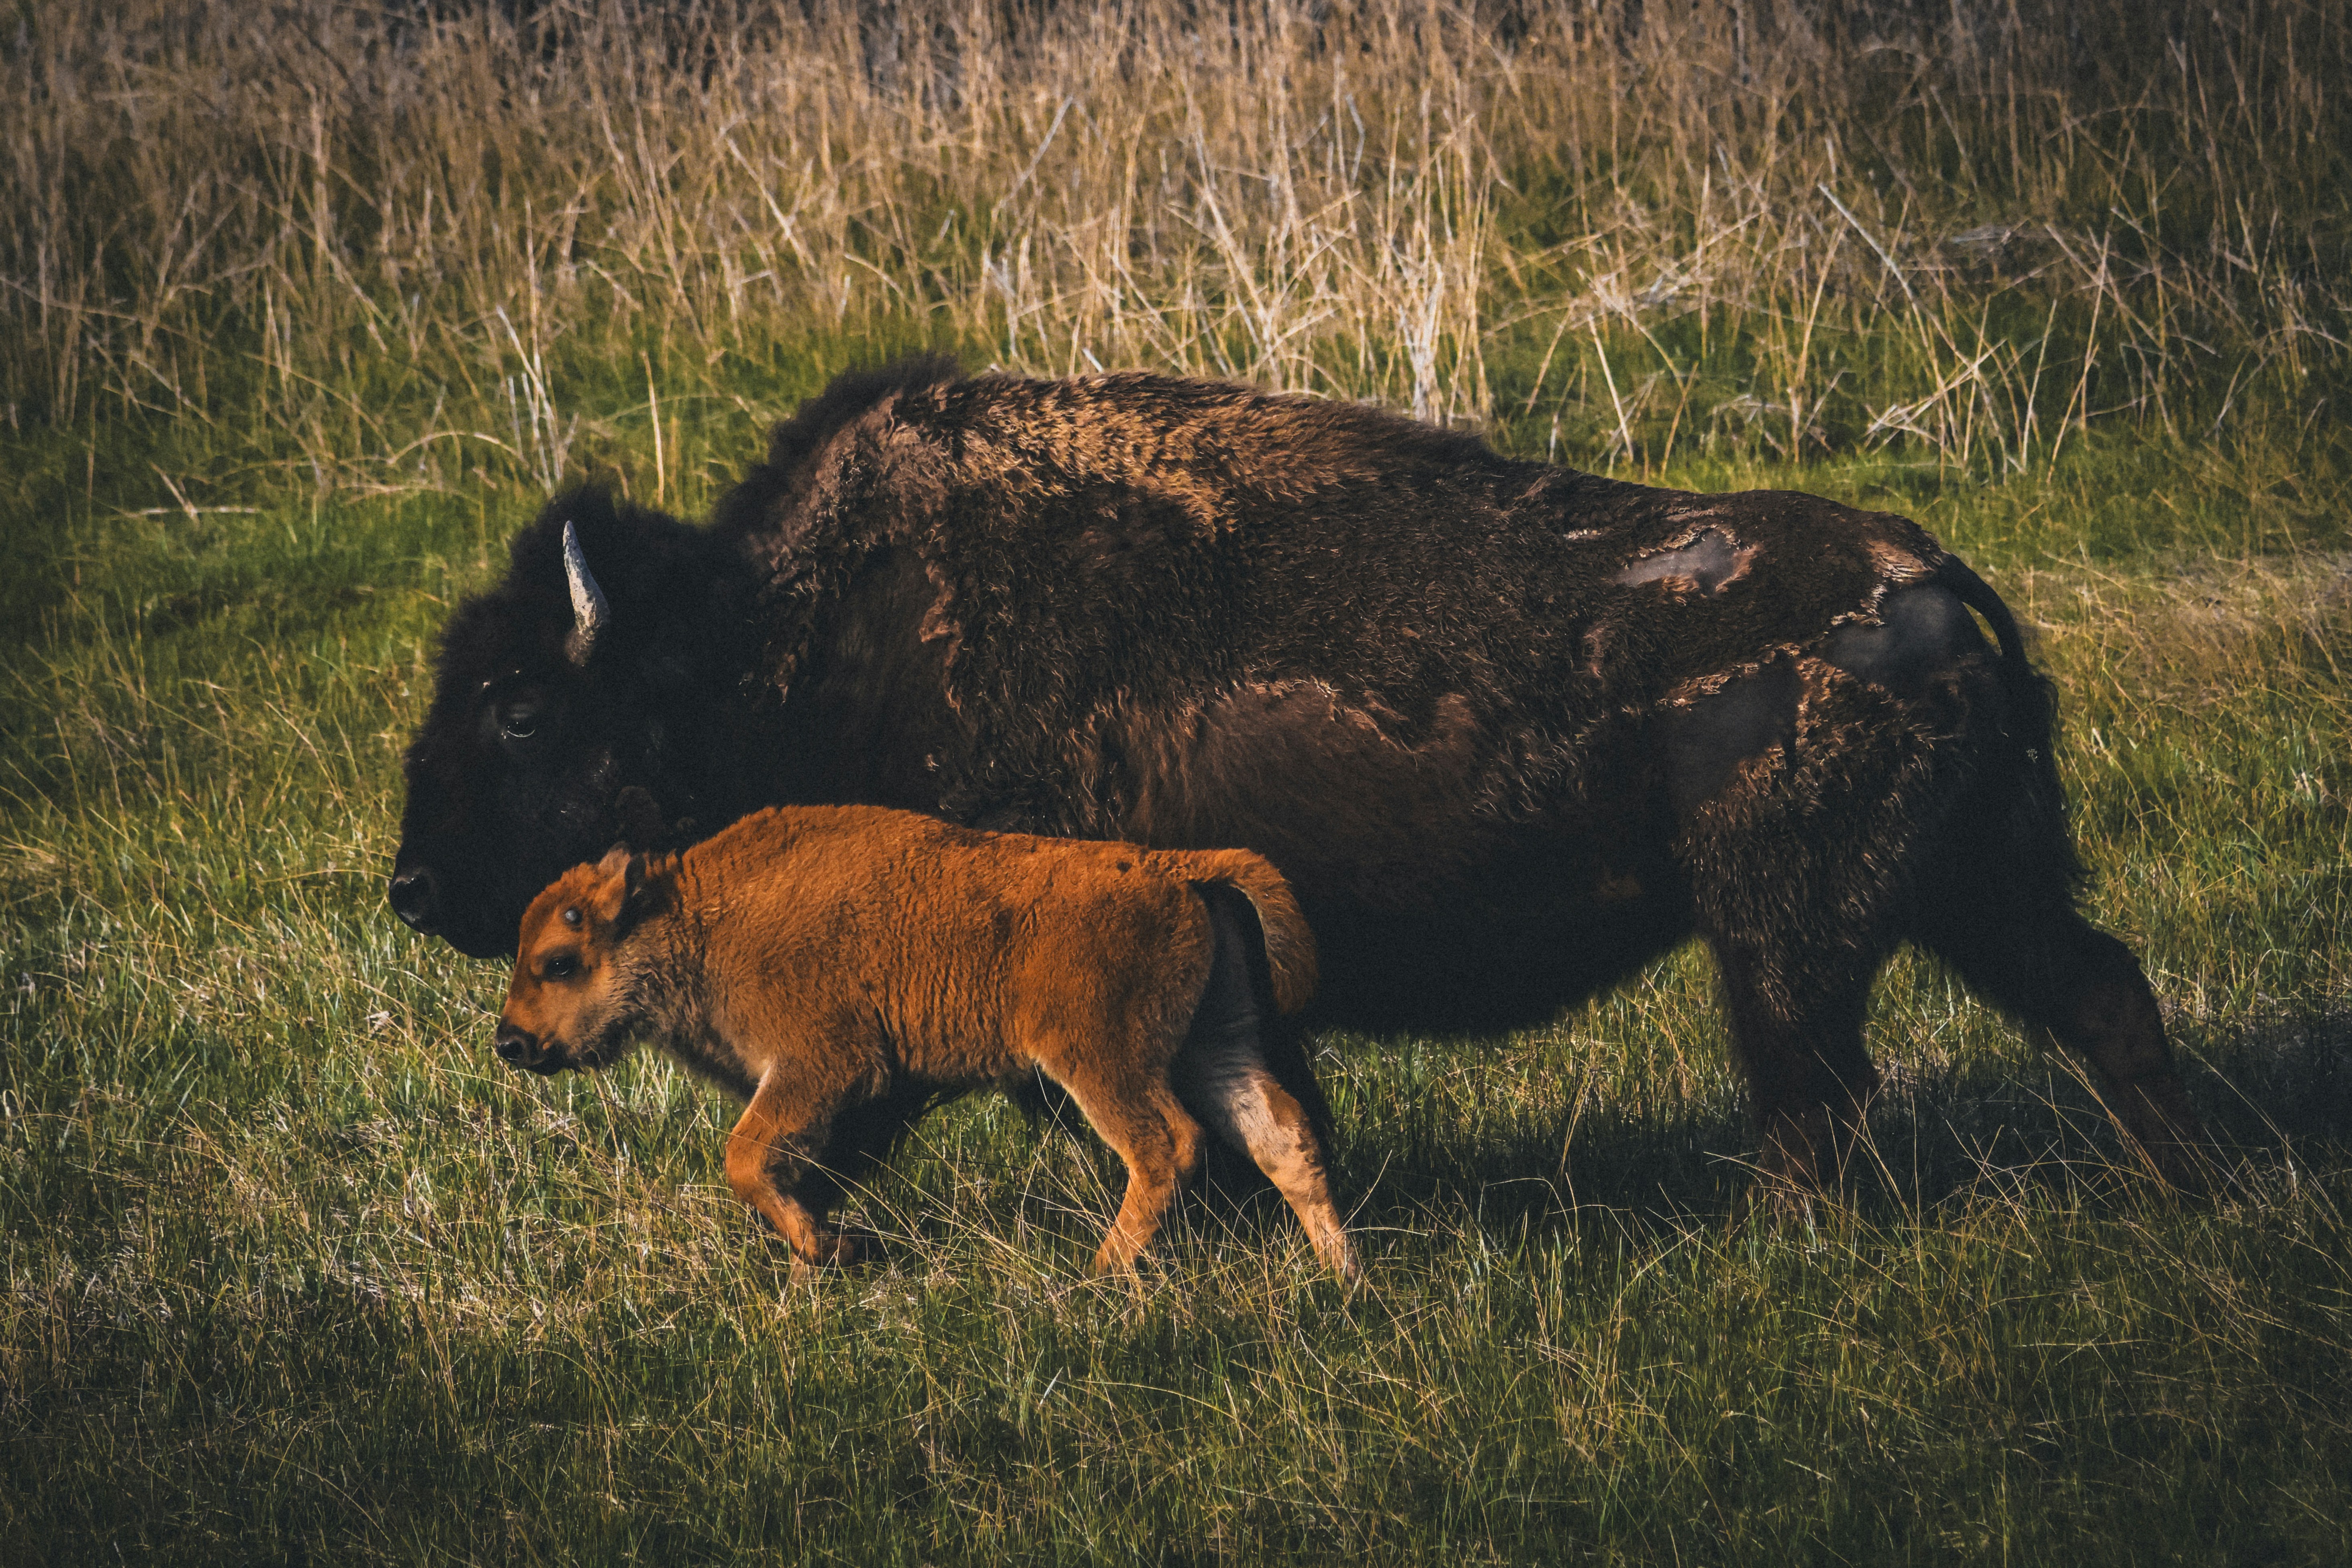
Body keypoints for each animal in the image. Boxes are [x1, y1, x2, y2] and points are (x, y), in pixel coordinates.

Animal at [394, 356, 2211, 1199]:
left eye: (517, 709)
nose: (410, 888)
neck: (791, 637)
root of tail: (1923, 572)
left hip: (1788, 938)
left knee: (1815, 1099)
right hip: (1973, 883)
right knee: (2099, 999)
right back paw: (2176, 1197)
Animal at [494, 804, 1356, 1275]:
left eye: (560, 960)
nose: (511, 1042)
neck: (701, 919)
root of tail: (1171, 868)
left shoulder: (820, 1068)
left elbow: (745, 1157)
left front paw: (834, 1249)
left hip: (1102, 1061)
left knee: (1166, 1144)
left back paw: (1100, 1271)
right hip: (1215, 1044)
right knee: (1281, 1133)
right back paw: (1341, 1276)